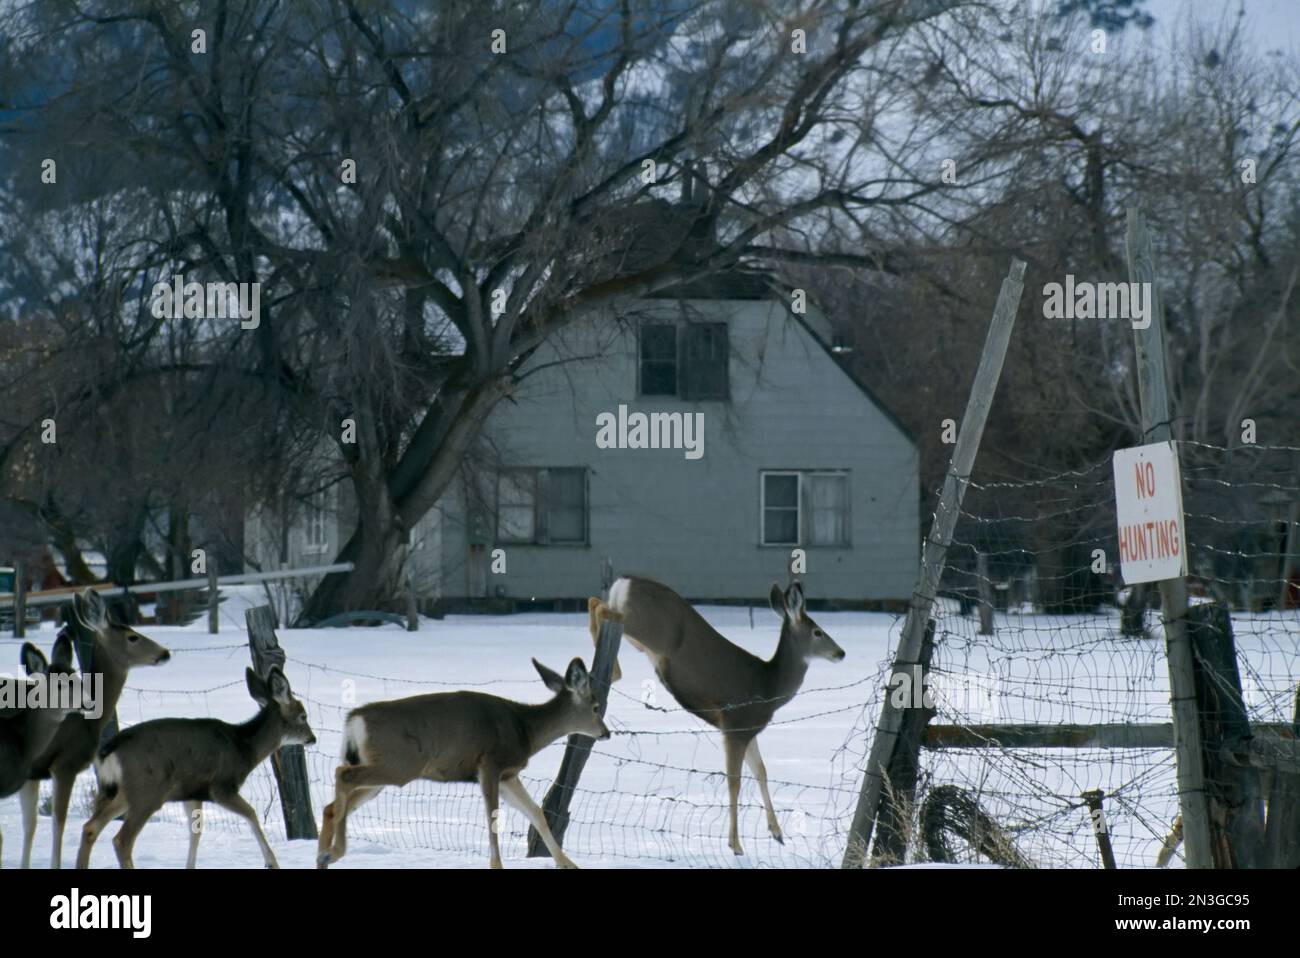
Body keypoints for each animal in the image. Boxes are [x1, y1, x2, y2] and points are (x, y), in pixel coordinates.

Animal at [18, 588, 170, 868]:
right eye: (133, 636)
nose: (165, 653)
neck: (89, 721)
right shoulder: (64, 764)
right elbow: (58, 823)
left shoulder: (32, 773)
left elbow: (30, 825)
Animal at [75, 665, 315, 869]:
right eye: (303, 716)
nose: (312, 738)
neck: (243, 748)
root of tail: (107, 751)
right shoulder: (221, 786)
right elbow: (251, 813)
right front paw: (271, 862)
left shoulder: (192, 793)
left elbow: (196, 832)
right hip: (148, 791)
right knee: (121, 840)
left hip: (118, 791)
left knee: (90, 827)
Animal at [317, 656, 610, 870]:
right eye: (596, 707)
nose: (606, 733)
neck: (524, 728)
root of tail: (354, 720)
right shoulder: (490, 764)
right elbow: (493, 818)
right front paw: (496, 866)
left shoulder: (508, 774)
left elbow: (536, 812)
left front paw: (568, 864)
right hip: (400, 764)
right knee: (342, 775)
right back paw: (335, 851)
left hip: (382, 769)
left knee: (331, 804)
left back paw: (323, 856)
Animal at [589, 576, 844, 856]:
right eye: (818, 631)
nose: (841, 653)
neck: (770, 688)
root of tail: (626, 581)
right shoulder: (736, 724)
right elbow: (735, 783)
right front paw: (736, 845)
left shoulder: (748, 731)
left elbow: (762, 771)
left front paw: (777, 833)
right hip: (648, 629)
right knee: (601, 609)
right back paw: (614, 670)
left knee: (595, 601)